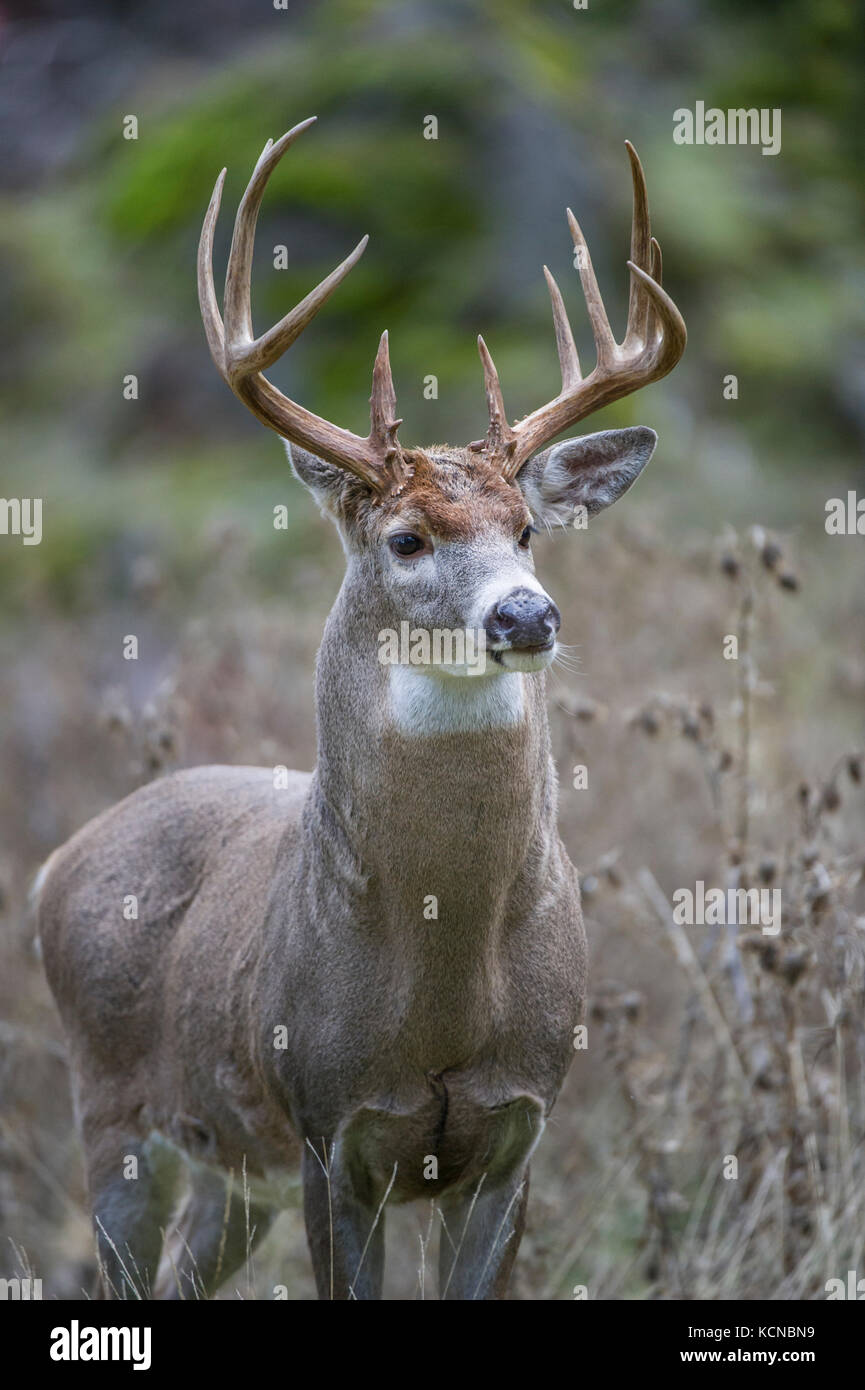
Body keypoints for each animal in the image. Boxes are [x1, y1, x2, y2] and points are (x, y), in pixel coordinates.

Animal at [35, 117, 685, 1300]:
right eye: (406, 538)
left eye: (528, 528)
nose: (527, 614)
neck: (442, 988)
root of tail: (59, 861)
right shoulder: (329, 1130)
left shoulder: (518, 1131)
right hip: (111, 1109)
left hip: (229, 1166)